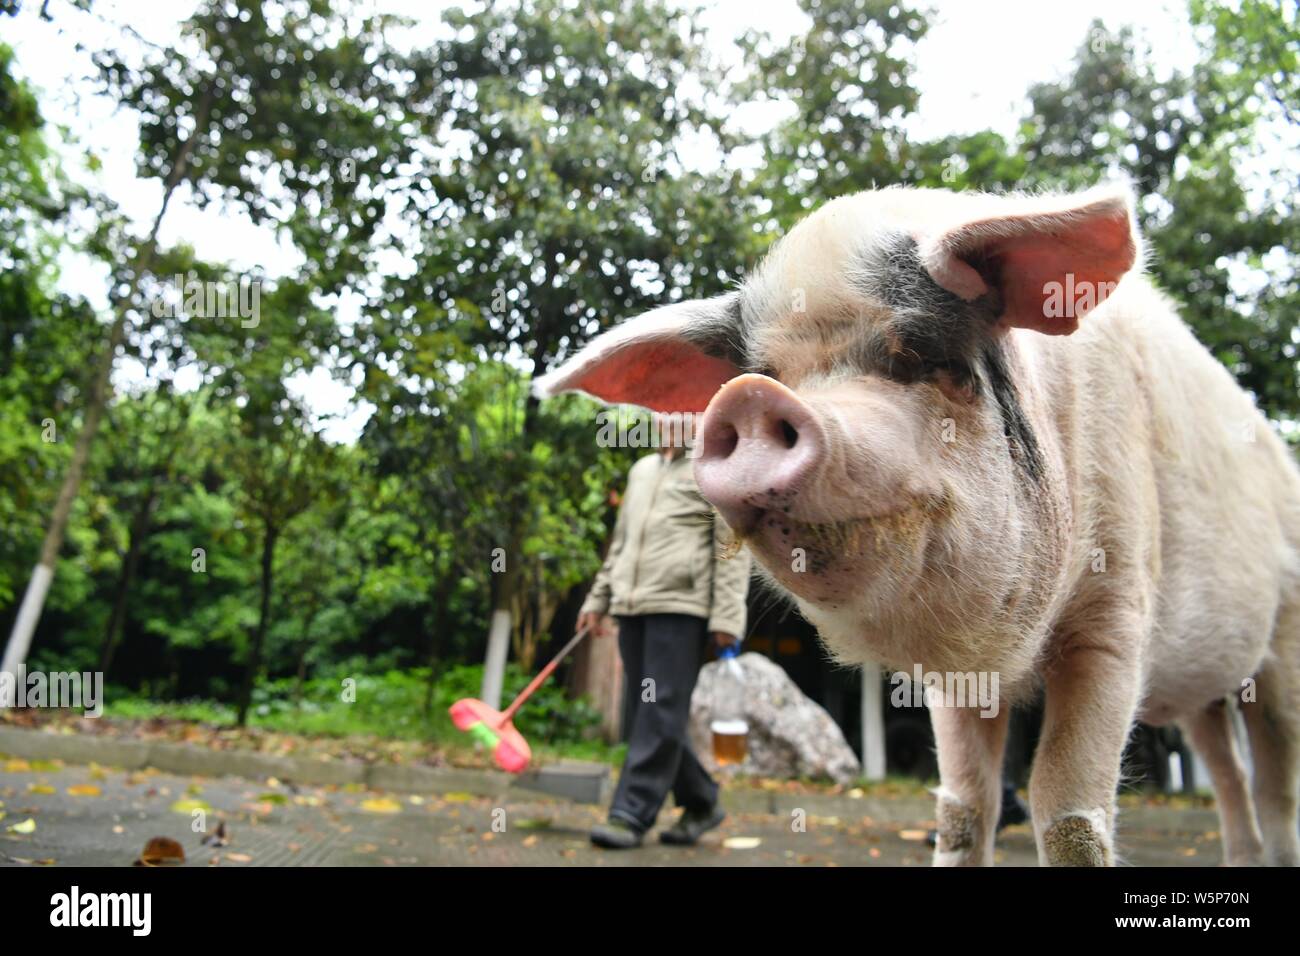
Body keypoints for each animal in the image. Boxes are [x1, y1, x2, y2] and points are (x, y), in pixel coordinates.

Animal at [535, 183, 1300, 867]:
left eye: (911, 353)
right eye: (767, 370)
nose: (750, 398)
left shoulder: (1117, 613)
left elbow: (1068, 809)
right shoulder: (954, 674)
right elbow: (962, 806)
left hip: (1283, 643)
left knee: (1272, 784)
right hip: (1211, 692)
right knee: (1227, 772)